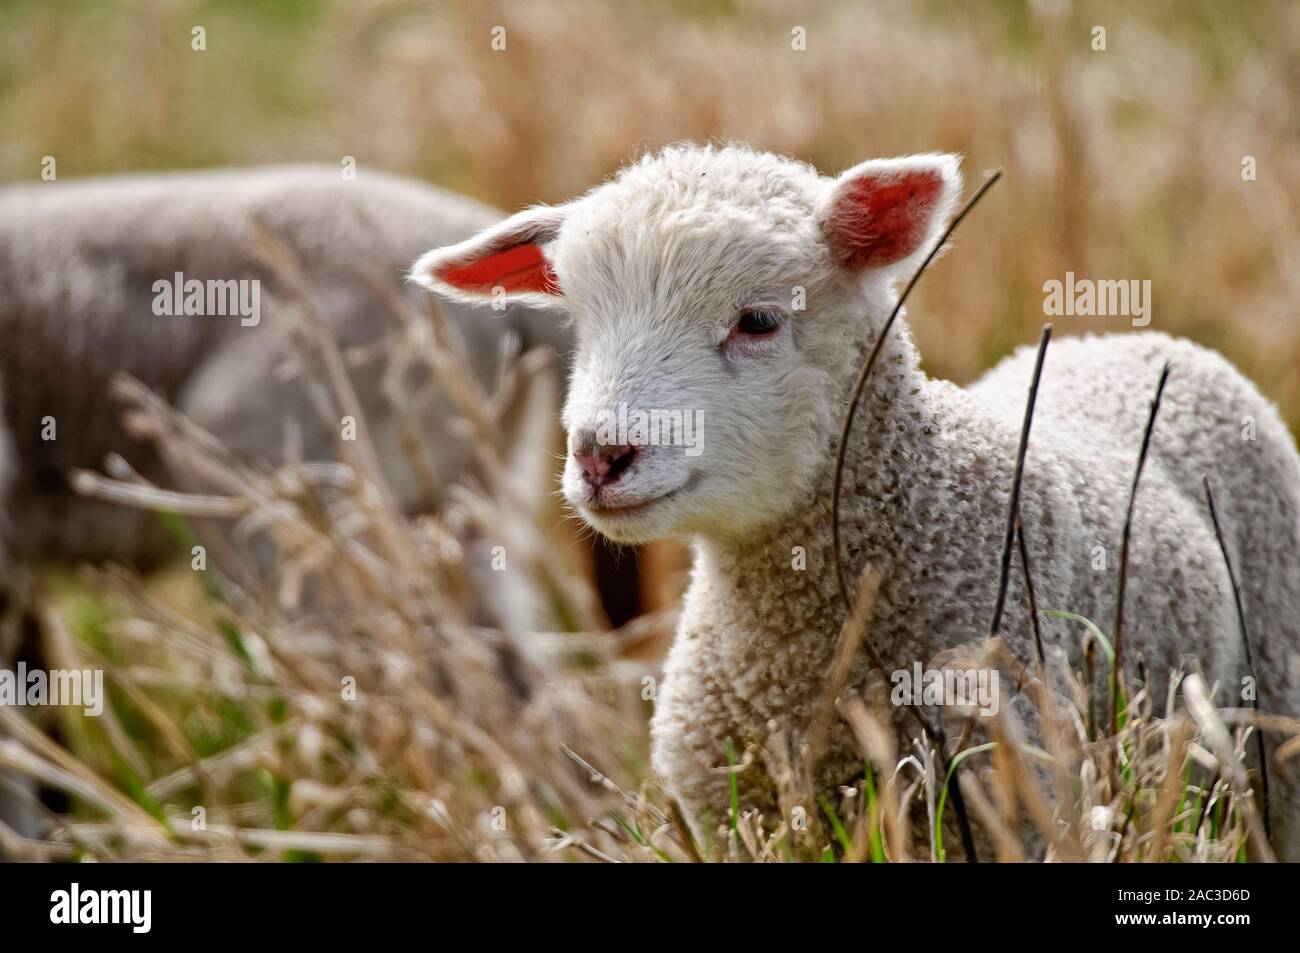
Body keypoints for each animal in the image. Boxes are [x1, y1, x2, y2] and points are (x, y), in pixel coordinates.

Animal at [413, 142, 1300, 859]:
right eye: (582, 324)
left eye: (758, 320)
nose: (602, 456)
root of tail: (1131, 339)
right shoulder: (736, 815)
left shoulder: (1001, 799)